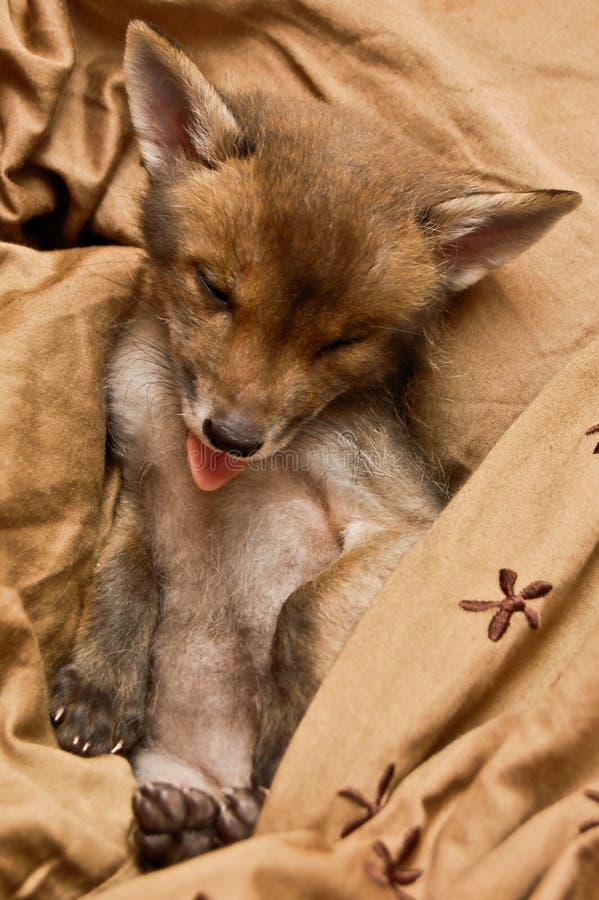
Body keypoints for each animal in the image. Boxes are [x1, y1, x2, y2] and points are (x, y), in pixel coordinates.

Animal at [49, 20, 580, 869]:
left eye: (342, 342)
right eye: (215, 290)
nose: (232, 437)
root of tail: (206, 774)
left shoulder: (406, 521)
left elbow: (300, 610)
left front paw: (291, 740)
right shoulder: (137, 479)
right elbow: (124, 579)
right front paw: (103, 684)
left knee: (239, 824)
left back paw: (232, 816)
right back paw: (186, 826)